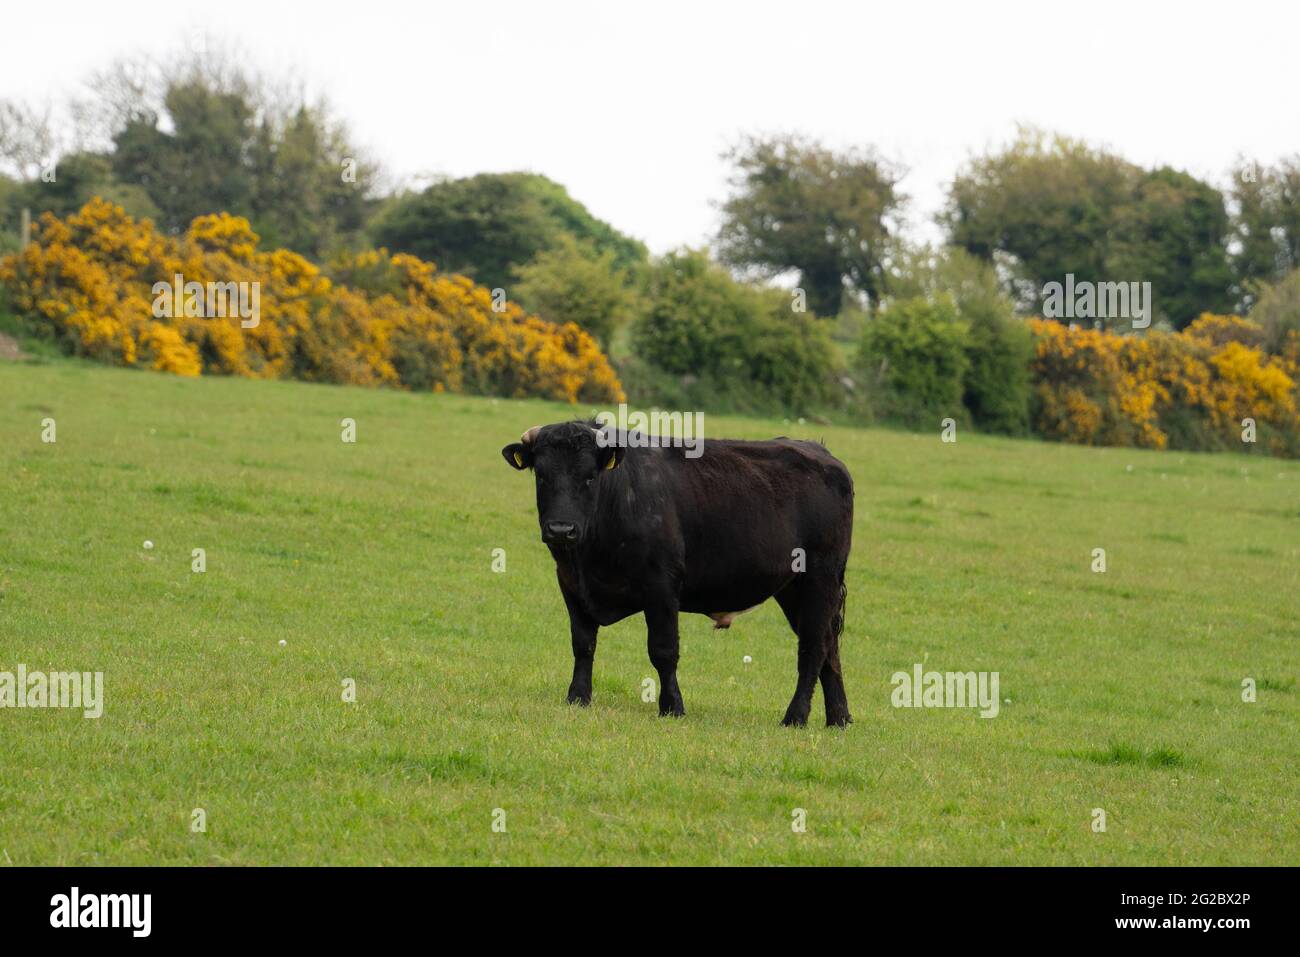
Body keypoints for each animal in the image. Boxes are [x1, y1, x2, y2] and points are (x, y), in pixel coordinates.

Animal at [501, 420, 855, 727]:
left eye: (589, 477)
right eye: (542, 475)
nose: (561, 529)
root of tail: (821, 452)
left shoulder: (661, 587)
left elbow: (663, 650)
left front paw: (672, 706)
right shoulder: (571, 585)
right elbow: (583, 644)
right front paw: (578, 697)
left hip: (820, 578)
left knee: (813, 648)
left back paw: (796, 716)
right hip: (793, 589)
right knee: (829, 647)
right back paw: (838, 718)